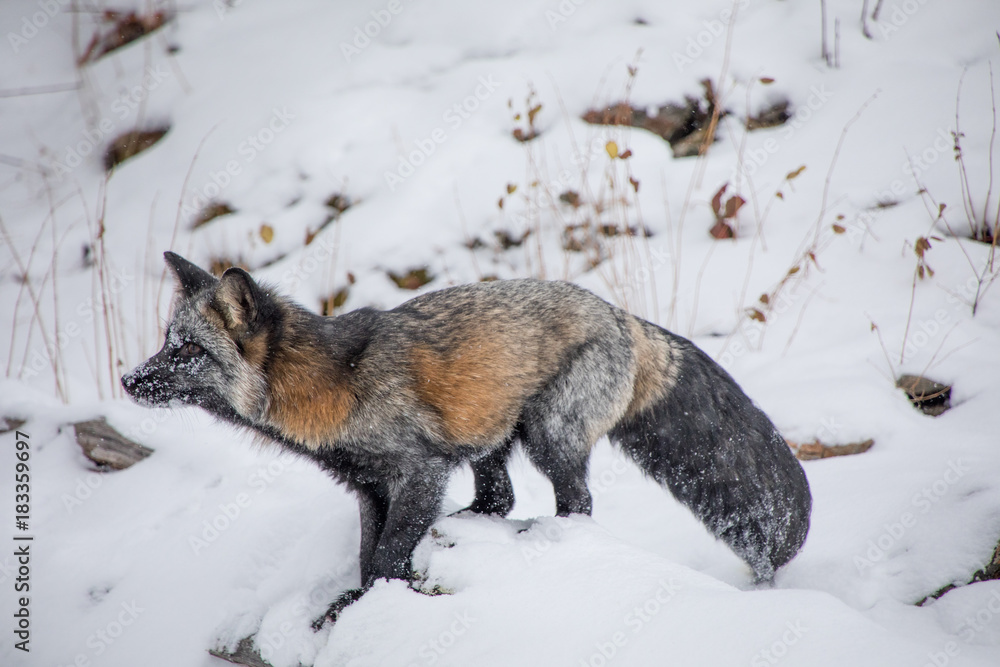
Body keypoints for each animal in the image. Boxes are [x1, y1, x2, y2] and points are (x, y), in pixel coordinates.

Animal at [122, 252, 811, 622]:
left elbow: (387, 559)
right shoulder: (368, 487)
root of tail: (622, 315)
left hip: (548, 437)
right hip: (489, 439)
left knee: (579, 504)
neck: (331, 385)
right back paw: (477, 520)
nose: (129, 380)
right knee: (500, 499)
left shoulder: (417, 472)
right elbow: (368, 554)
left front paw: (368, 607)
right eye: (165, 342)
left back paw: (552, 534)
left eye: (188, 351)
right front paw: (354, 601)